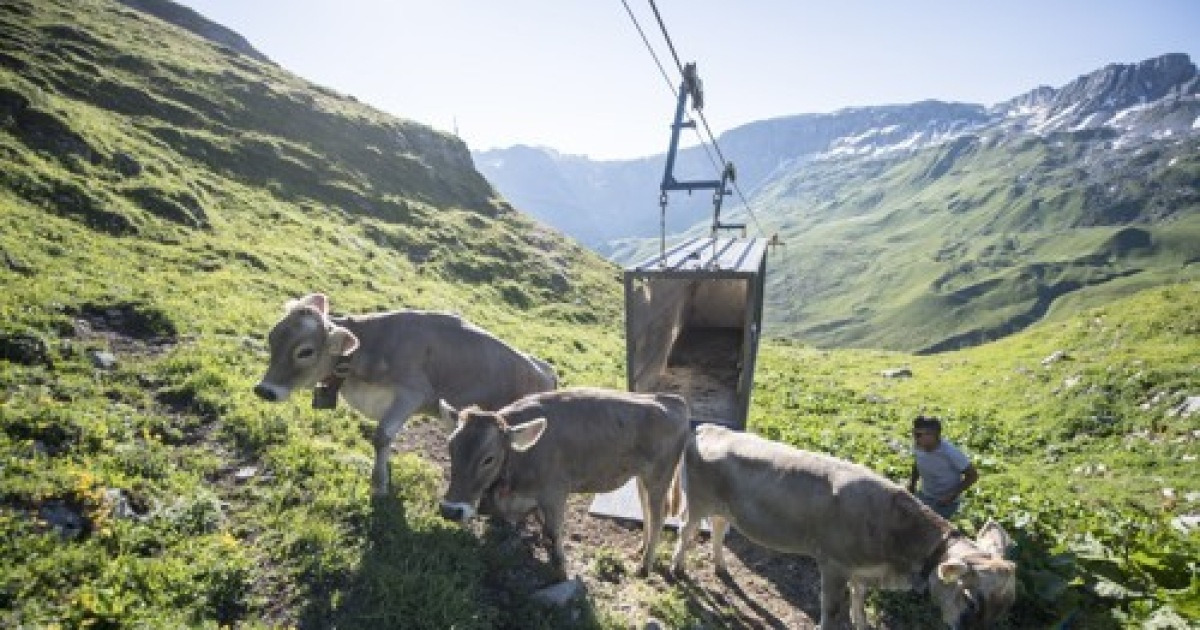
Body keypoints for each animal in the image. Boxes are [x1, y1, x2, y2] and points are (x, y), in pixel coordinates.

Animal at [253, 293, 557, 496]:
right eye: (271, 337)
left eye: (305, 351)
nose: (264, 390)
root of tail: (547, 370)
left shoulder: (412, 394)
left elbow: (381, 436)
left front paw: (379, 484)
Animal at [438, 387, 691, 579]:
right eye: (450, 447)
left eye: (488, 458)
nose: (450, 510)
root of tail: (671, 399)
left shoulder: (555, 492)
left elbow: (552, 531)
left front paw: (559, 568)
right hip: (641, 477)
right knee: (647, 509)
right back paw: (640, 549)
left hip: (659, 475)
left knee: (658, 516)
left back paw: (644, 567)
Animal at [670, 424, 1017, 630]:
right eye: (971, 602)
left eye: (1006, 607)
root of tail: (709, 427)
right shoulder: (834, 565)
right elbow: (833, 609)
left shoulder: (862, 570)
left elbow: (858, 602)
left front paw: (862, 623)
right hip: (697, 502)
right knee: (686, 532)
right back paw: (678, 569)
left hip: (725, 509)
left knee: (718, 529)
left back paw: (721, 568)